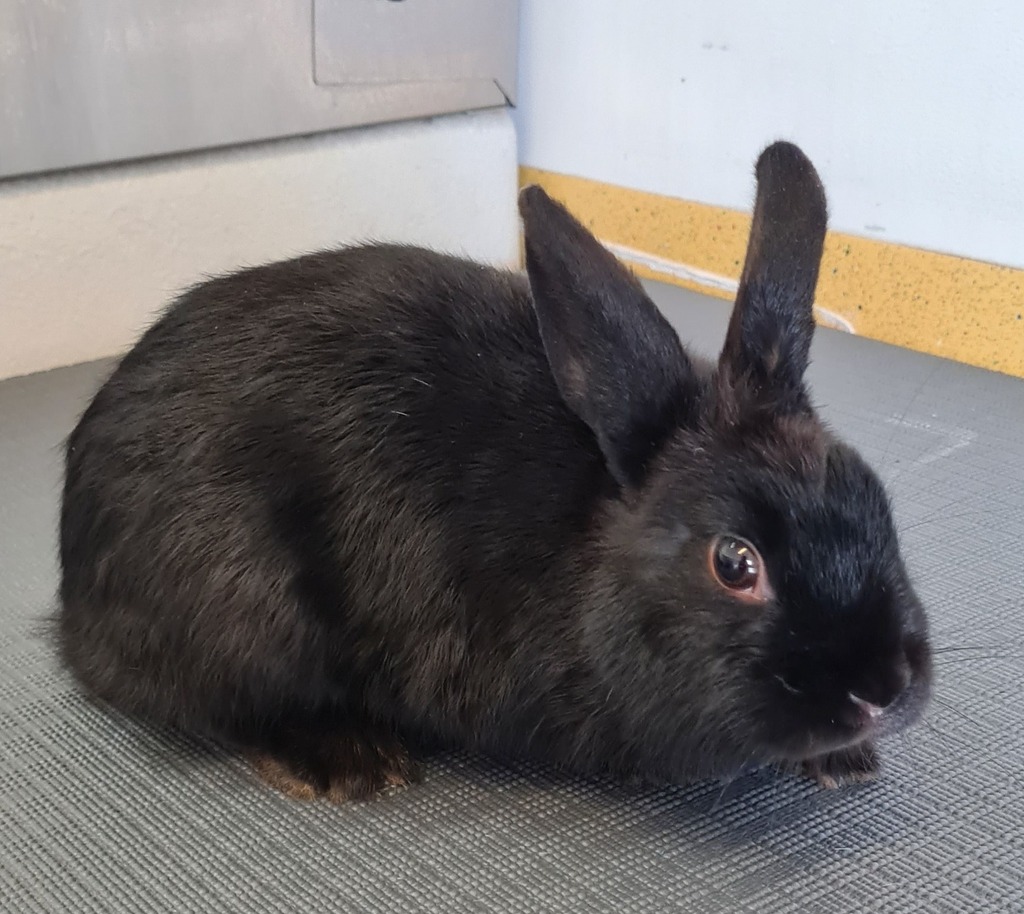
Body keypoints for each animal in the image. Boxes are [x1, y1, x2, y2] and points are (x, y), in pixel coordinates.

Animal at [57, 141, 932, 802]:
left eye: (876, 499)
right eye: (735, 563)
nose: (882, 688)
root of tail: (73, 601)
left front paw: (846, 761)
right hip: (242, 609)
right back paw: (349, 762)